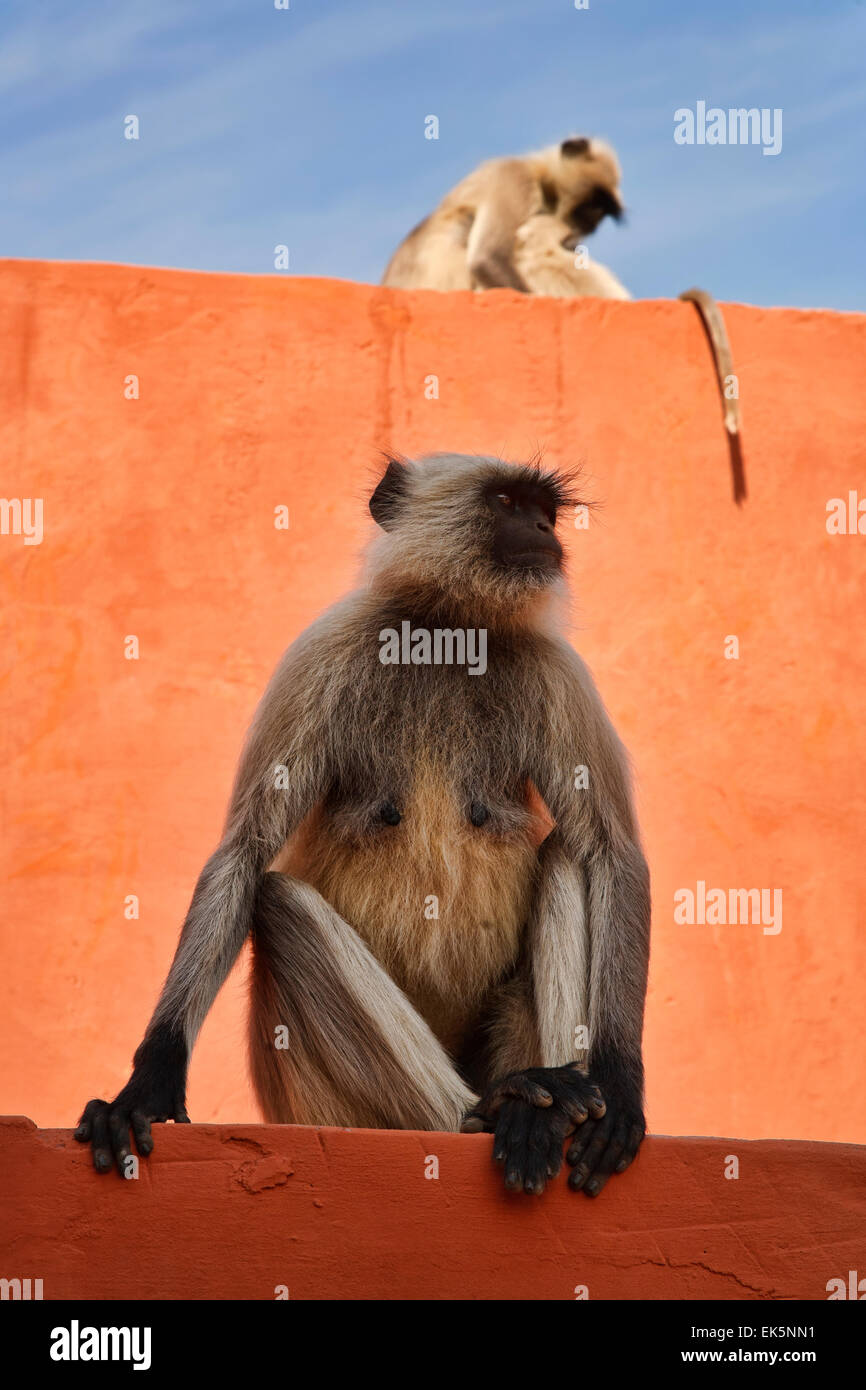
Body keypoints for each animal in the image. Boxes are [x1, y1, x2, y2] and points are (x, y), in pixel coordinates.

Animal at [76, 453, 650, 1198]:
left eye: (543, 511)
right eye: (506, 502)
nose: (545, 532)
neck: (446, 634)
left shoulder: (557, 671)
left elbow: (613, 854)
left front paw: (620, 1088)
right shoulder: (324, 649)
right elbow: (243, 852)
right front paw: (147, 1082)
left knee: (568, 854)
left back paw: (551, 1111)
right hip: (321, 1105)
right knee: (280, 902)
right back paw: (488, 1112)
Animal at [381, 136, 629, 299]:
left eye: (601, 215)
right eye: (591, 208)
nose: (591, 226)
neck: (540, 176)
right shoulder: (515, 176)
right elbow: (487, 258)